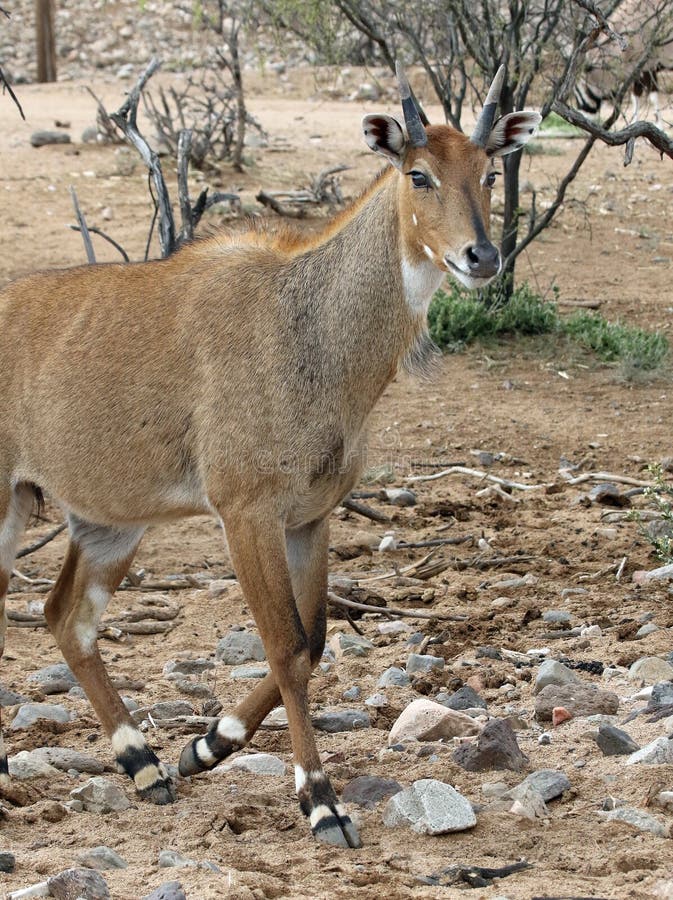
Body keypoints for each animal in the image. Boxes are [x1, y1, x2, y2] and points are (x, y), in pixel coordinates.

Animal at [0, 64, 539, 848]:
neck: (309, 327)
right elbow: (285, 646)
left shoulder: (309, 518)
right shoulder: (245, 512)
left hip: (109, 524)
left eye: (489, 171)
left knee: (66, 616)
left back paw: (144, 765)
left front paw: (205, 745)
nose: (482, 256)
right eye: (418, 173)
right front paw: (321, 801)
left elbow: (312, 641)